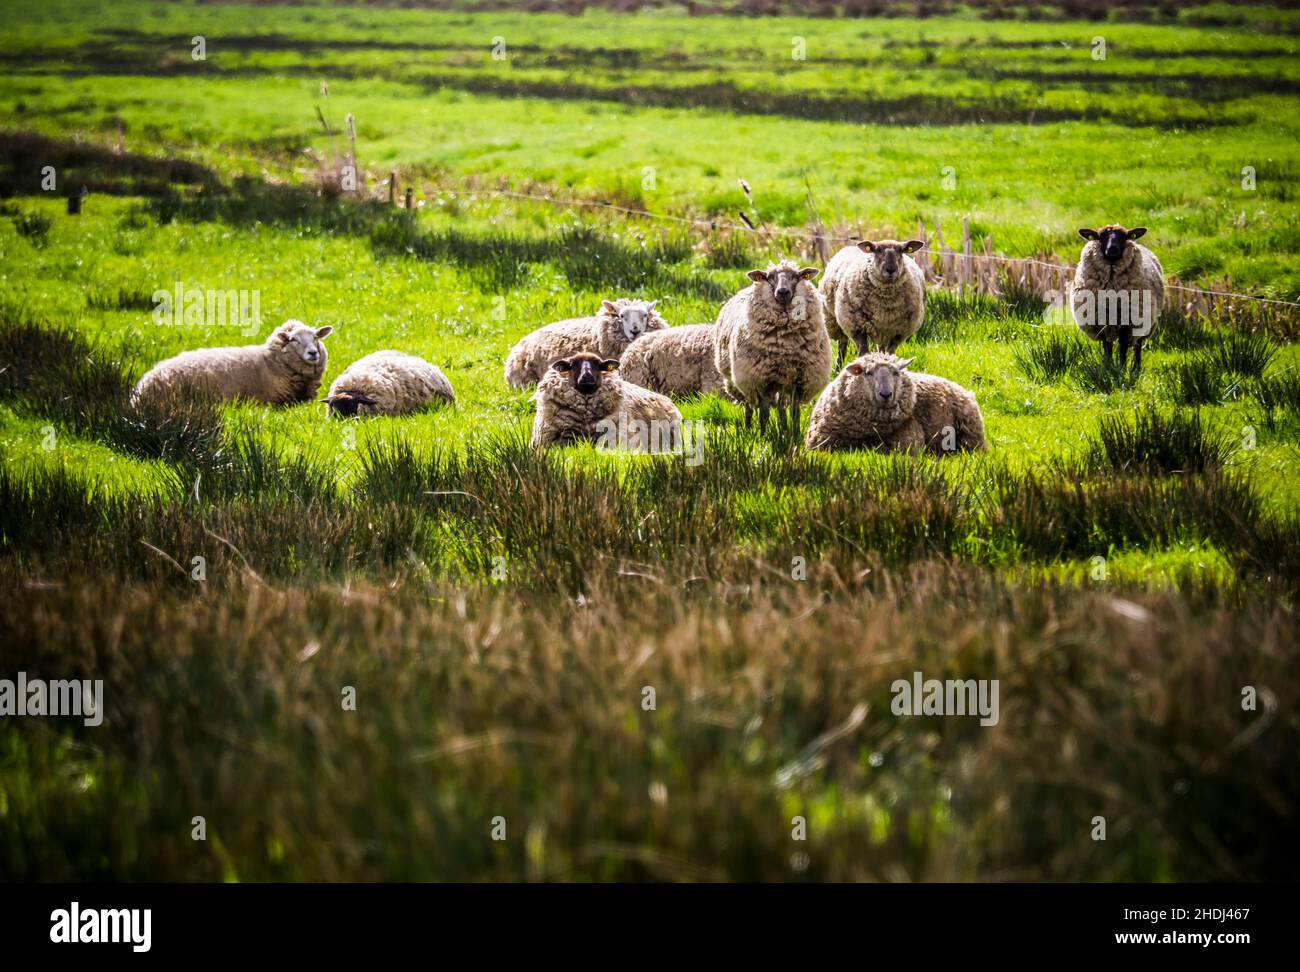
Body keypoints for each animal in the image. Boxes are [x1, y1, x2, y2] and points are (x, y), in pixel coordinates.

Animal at [713, 259, 831, 435]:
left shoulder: (798, 379)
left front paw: (794, 435)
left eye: (796, 276)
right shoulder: (762, 379)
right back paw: (748, 428)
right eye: (769, 277)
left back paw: (784, 430)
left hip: (782, 380)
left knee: (781, 407)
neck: (785, 344)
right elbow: (764, 413)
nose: (782, 292)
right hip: (744, 379)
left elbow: (794, 412)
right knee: (749, 407)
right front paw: (762, 435)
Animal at [806, 352, 986, 455]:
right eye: (868, 372)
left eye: (896, 373)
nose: (886, 394)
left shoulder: (909, 442)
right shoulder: (820, 443)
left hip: (970, 432)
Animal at [820, 239, 926, 367]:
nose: (890, 269)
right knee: (842, 345)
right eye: (877, 250)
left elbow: (890, 354)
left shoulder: (899, 332)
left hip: (883, 331)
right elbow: (863, 353)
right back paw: (838, 367)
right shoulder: (857, 327)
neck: (886, 299)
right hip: (836, 321)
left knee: (881, 348)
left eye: (901, 251)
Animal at [1070, 224, 1164, 375]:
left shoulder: (1128, 324)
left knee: (1137, 346)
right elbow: (1107, 348)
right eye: (1101, 236)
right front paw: (1108, 368)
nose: (1112, 249)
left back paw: (1136, 369)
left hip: (1144, 323)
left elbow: (1123, 349)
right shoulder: (1101, 323)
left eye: (1124, 236)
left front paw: (1121, 370)